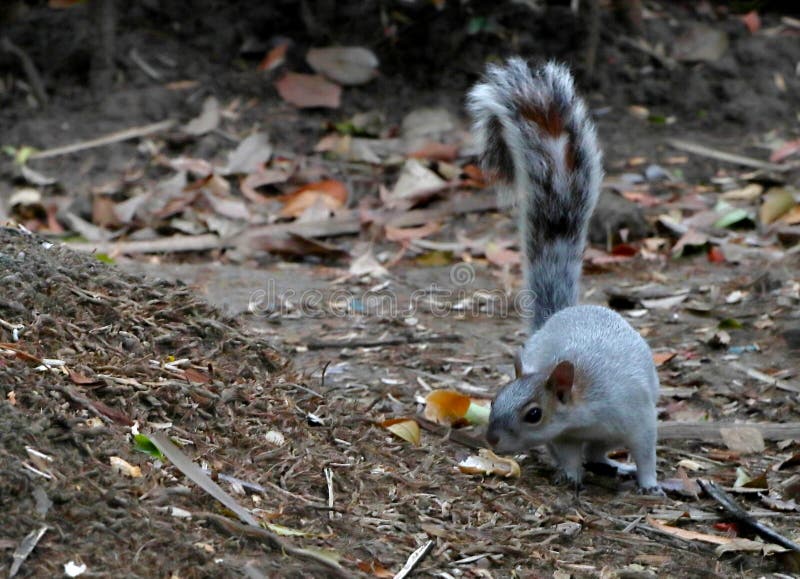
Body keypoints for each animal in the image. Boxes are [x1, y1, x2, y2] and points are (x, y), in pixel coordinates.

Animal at [467, 58, 661, 494]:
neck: (587, 405)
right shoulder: (567, 435)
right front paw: (569, 477)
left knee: (603, 449)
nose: (492, 439)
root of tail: (561, 314)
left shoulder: (638, 417)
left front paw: (649, 482)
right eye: (494, 399)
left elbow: (645, 451)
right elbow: (570, 453)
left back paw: (610, 464)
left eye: (533, 414)